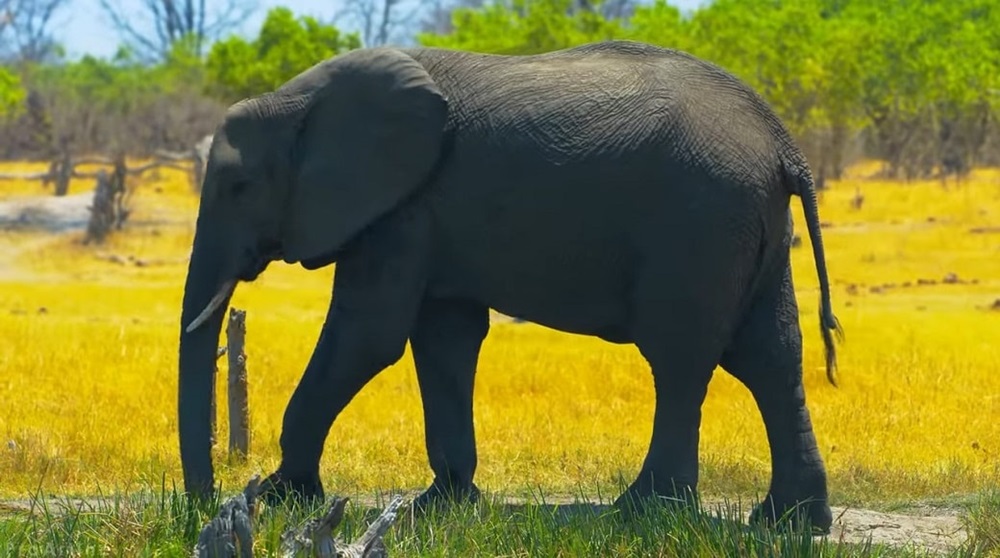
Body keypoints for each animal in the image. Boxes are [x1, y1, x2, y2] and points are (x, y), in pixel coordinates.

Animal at [177, 40, 843, 533]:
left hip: (700, 224)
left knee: (681, 360)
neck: (297, 98)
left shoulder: (401, 209)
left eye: (239, 188)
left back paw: (644, 514)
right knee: (770, 358)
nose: (208, 502)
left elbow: (367, 337)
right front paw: (443, 504)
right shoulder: (424, 212)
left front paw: (284, 496)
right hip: (749, 227)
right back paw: (790, 523)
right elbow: (444, 338)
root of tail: (783, 145)